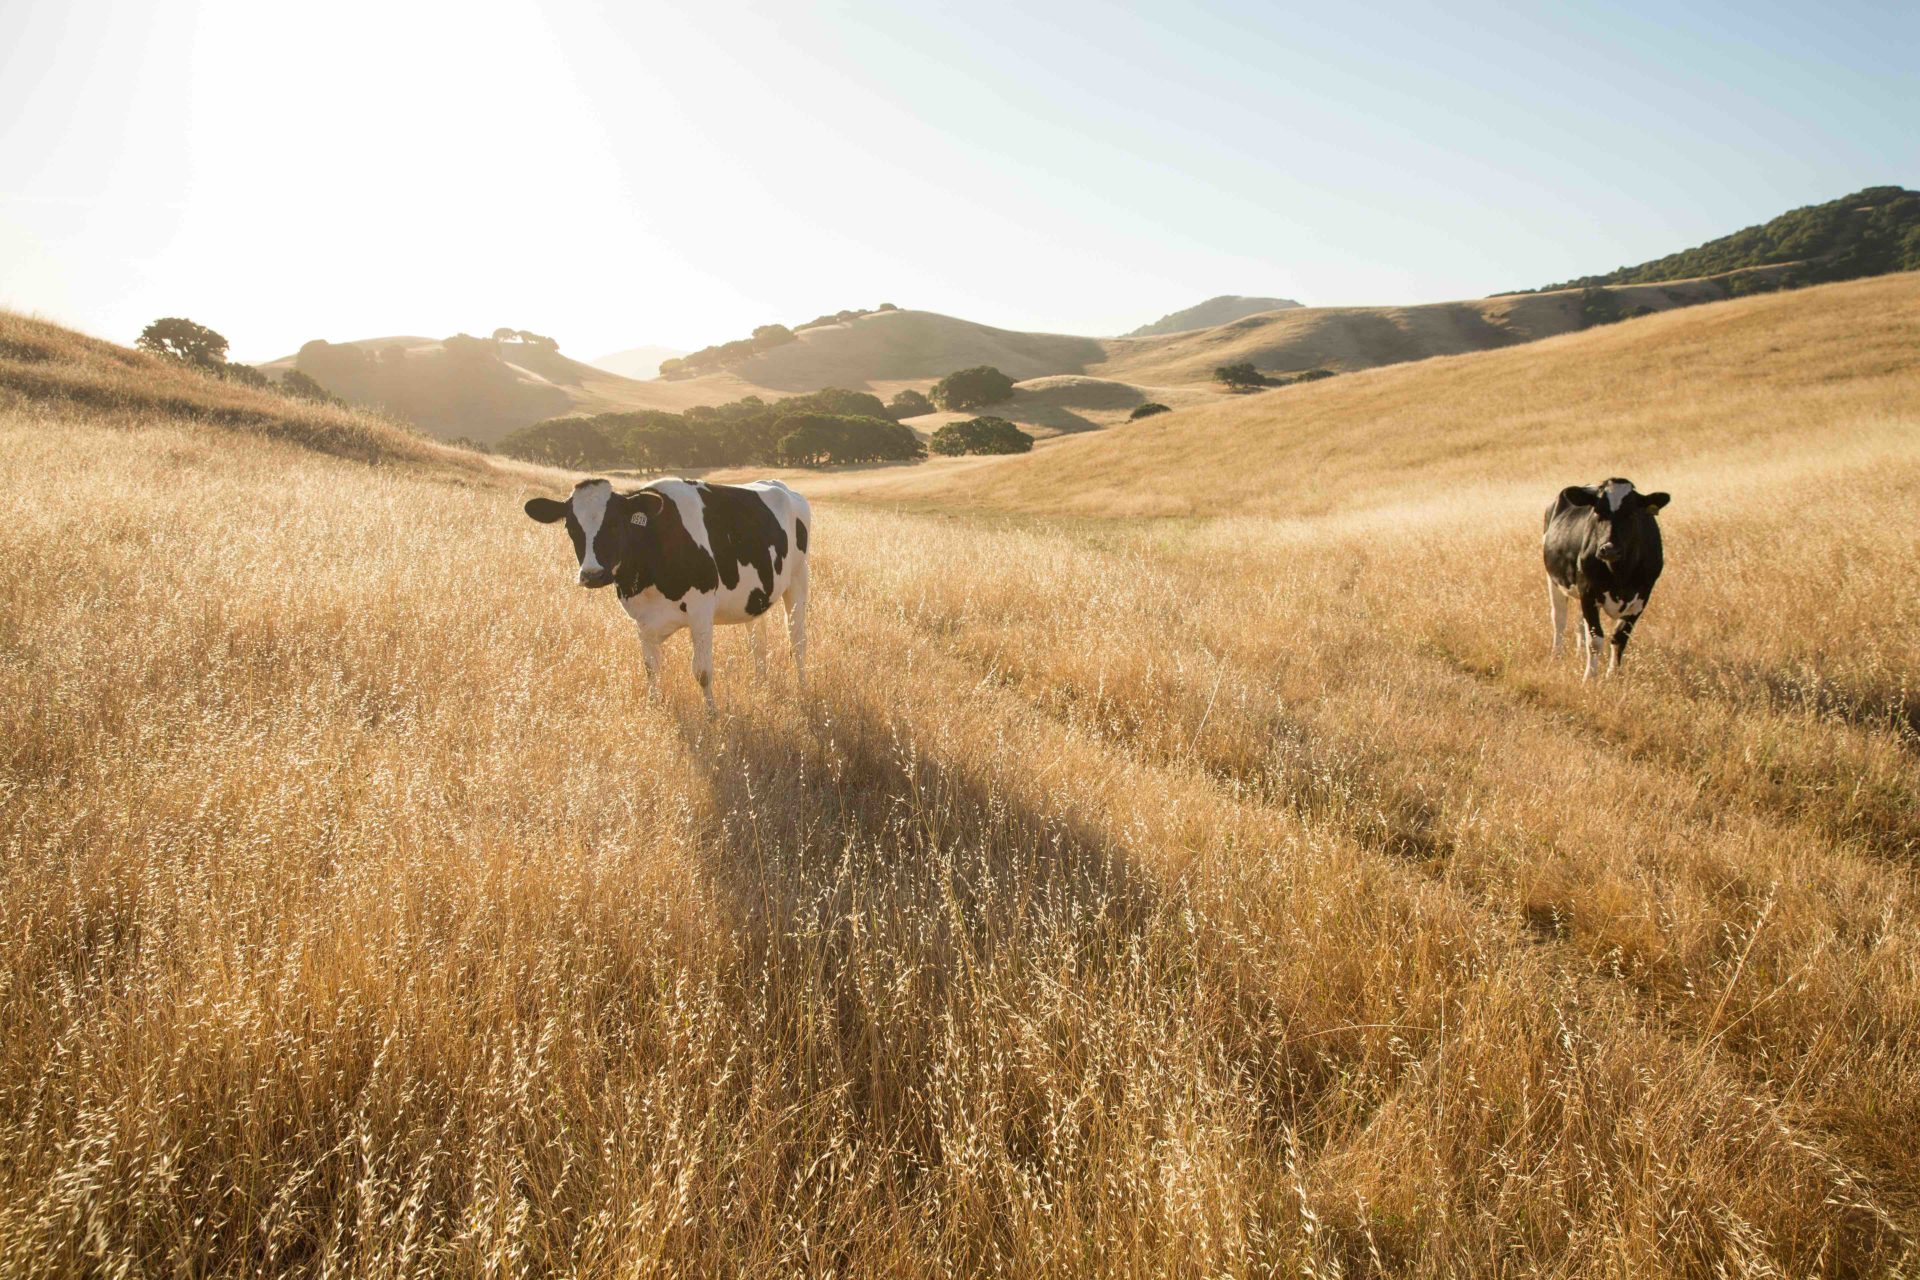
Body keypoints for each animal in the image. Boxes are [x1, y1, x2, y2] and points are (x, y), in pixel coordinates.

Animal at [525, 477, 810, 709]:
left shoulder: (701, 612)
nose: (592, 574)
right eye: (570, 527)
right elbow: (651, 668)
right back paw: (760, 685)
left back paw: (802, 690)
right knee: (758, 643)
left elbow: (702, 672)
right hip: (754, 597)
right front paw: (654, 706)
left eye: (615, 524)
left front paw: (712, 716)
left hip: (798, 578)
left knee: (796, 641)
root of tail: (781, 486)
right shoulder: (641, 618)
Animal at [1543, 477, 1670, 679]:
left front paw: (1613, 675)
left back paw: (1579, 654)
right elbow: (1595, 639)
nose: (1609, 549)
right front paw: (1590, 678)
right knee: (1559, 619)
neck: (1619, 573)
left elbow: (1619, 637)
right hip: (1554, 580)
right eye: (1597, 511)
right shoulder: (1588, 592)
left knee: (1580, 623)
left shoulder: (1642, 597)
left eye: (1632, 513)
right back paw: (1557, 655)